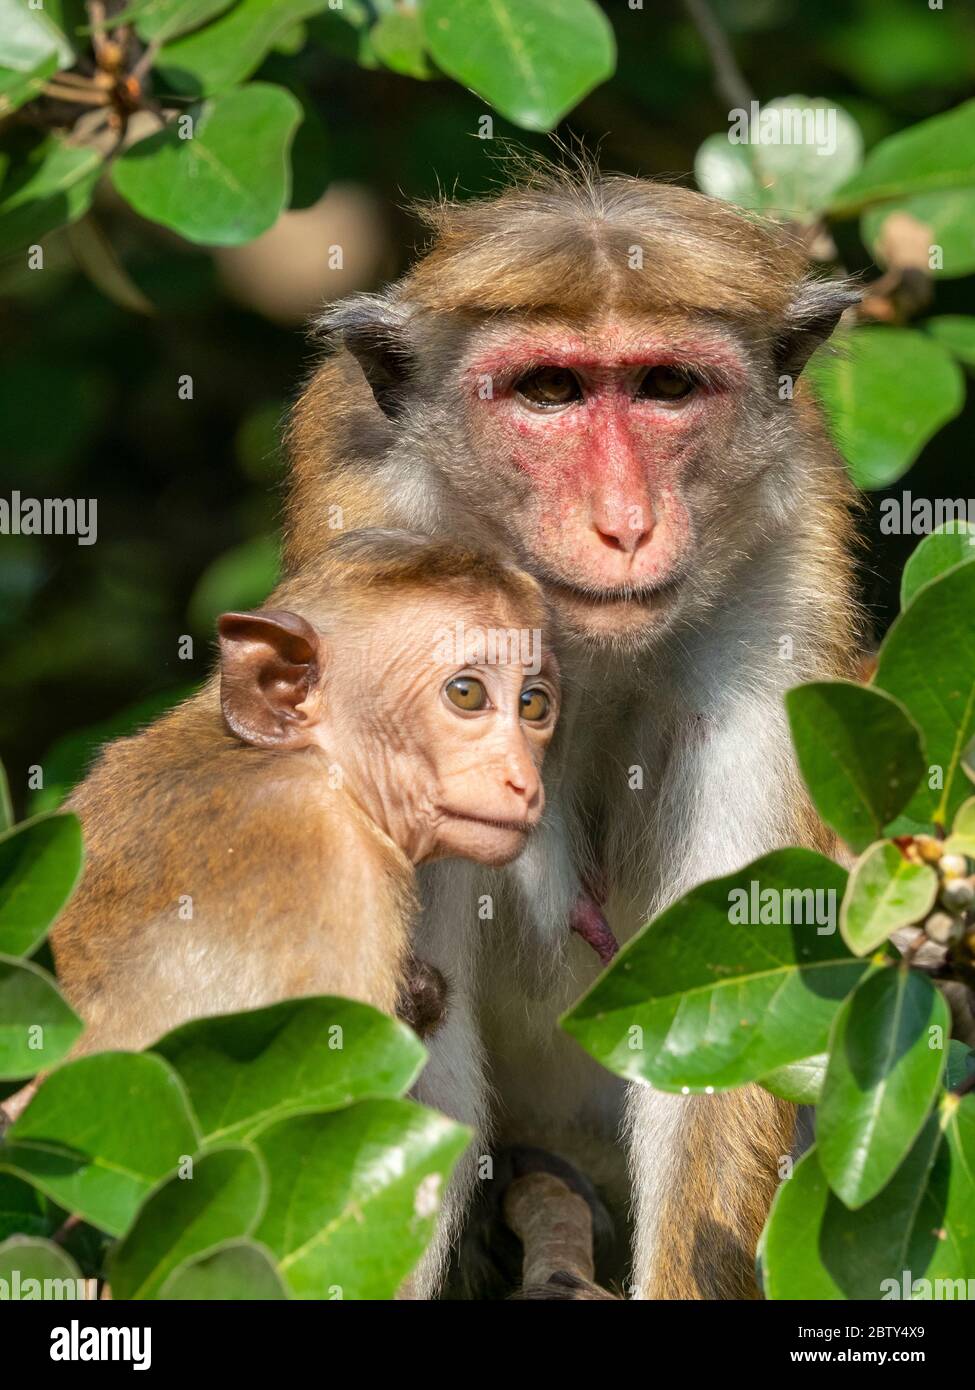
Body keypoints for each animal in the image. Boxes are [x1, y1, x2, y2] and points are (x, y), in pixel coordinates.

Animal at [281, 162, 863, 1299]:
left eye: (666, 387)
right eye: (547, 391)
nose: (624, 523)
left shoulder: (775, 602)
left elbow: (715, 1021)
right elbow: (411, 1067)